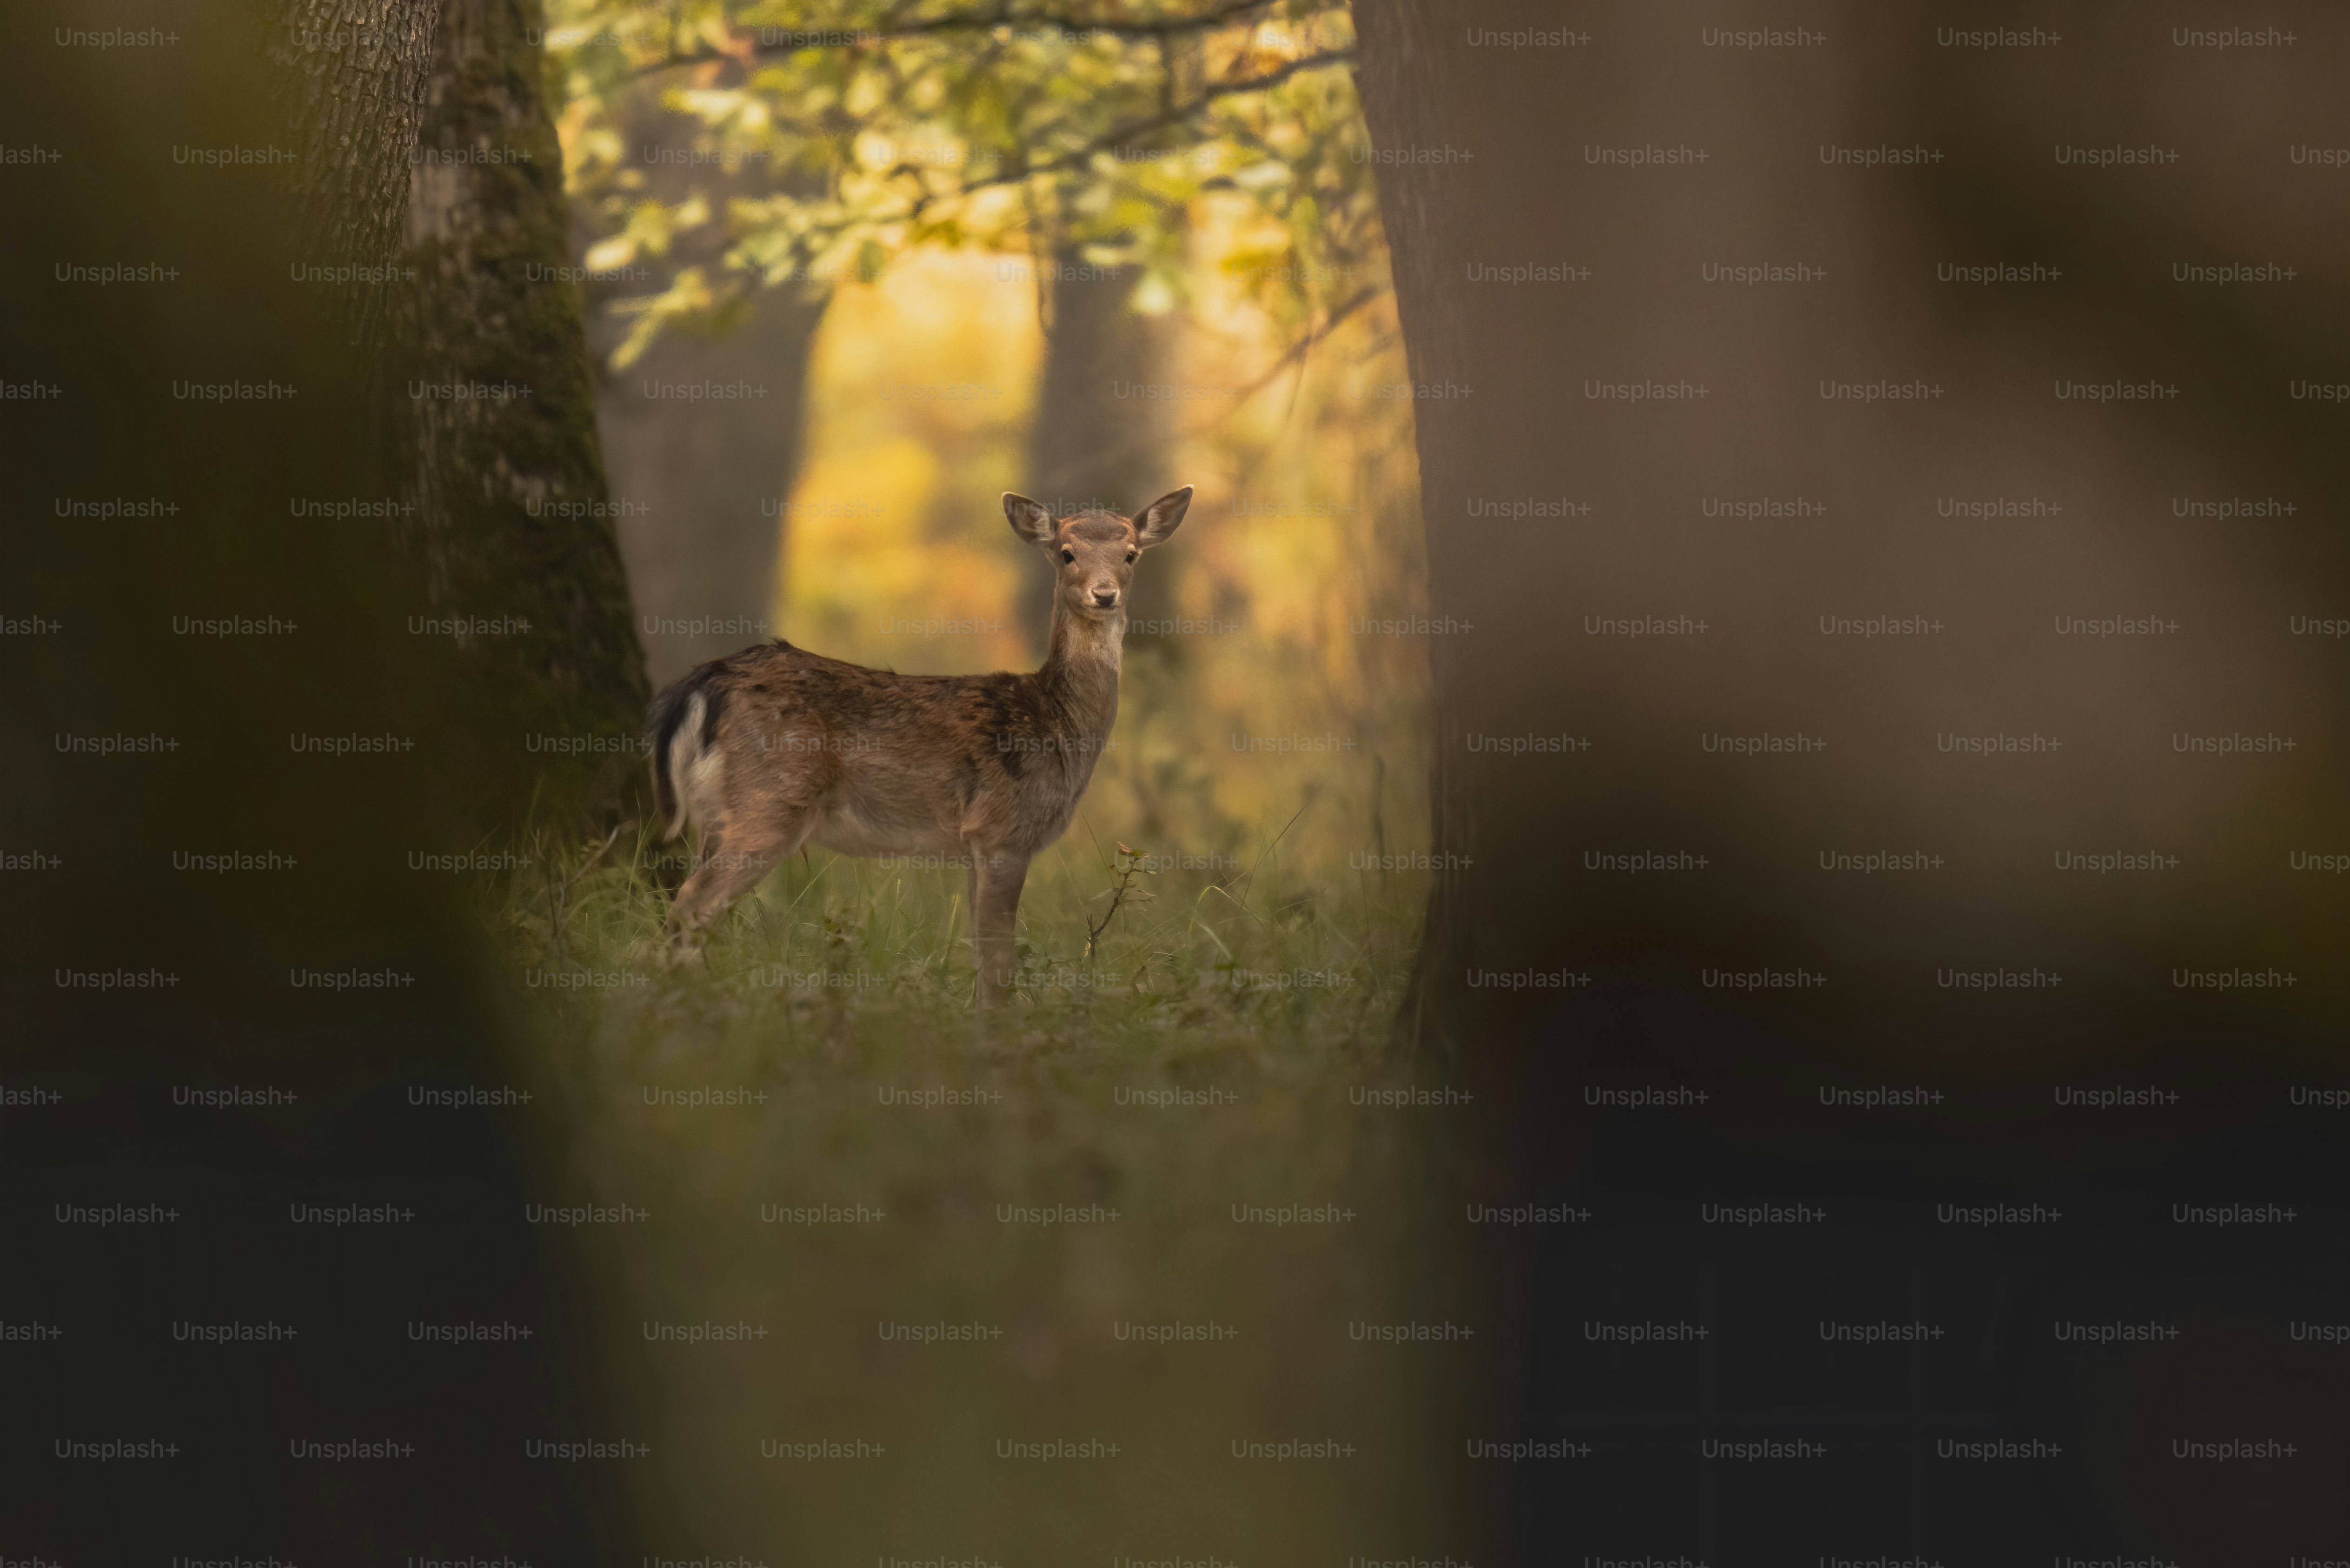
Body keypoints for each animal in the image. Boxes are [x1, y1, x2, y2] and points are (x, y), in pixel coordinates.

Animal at [644, 486, 1193, 1006]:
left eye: (1130, 554)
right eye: (1066, 553)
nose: (1104, 594)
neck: (1058, 724)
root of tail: (703, 682)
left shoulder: (975, 846)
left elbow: (979, 954)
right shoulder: (1002, 830)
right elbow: (999, 963)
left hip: (719, 813)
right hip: (772, 800)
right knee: (688, 908)